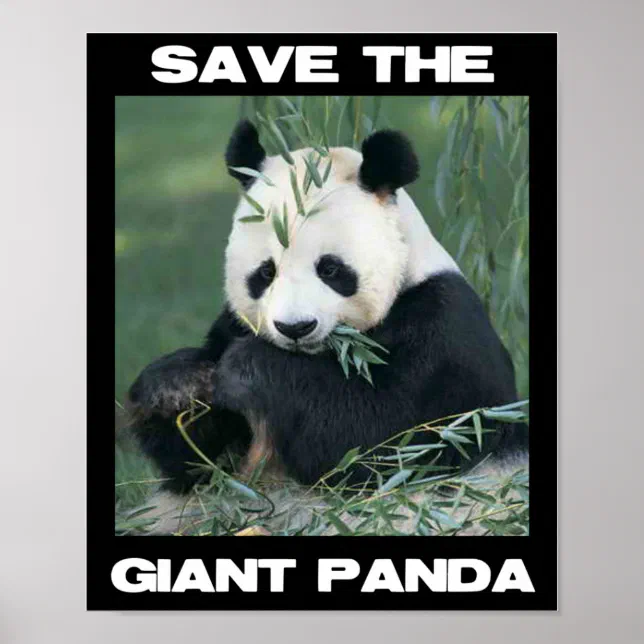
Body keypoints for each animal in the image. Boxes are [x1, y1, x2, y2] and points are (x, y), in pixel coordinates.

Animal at [126, 119, 526, 534]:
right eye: (266, 272)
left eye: (331, 269)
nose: (295, 327)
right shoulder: (232, 325)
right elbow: (199, 465)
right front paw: (177, 386)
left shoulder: (443, 333)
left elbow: (382, 439)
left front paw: (248, 368)